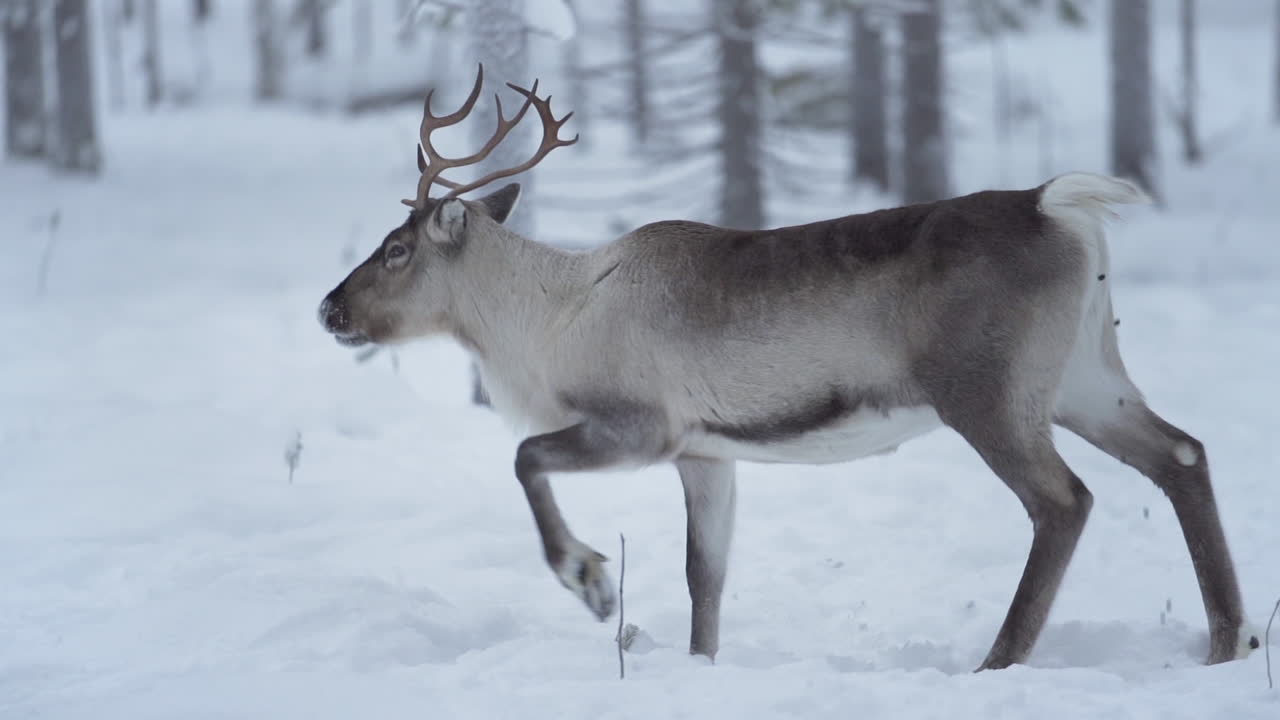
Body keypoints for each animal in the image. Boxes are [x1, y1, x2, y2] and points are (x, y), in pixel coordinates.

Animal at [318, 65, 1256, 671]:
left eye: (397, 249)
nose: (330, 309)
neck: (546, 319)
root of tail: (1055, 205)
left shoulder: (639, 427)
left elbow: (524, 457)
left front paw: (590, 581)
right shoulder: (706, 453)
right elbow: (705, 577)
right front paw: (699, 667)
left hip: (989, 394)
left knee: (1064, 503)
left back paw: (998, 663)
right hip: (1084, 379)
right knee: (1182, 454)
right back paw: (1227, 643)